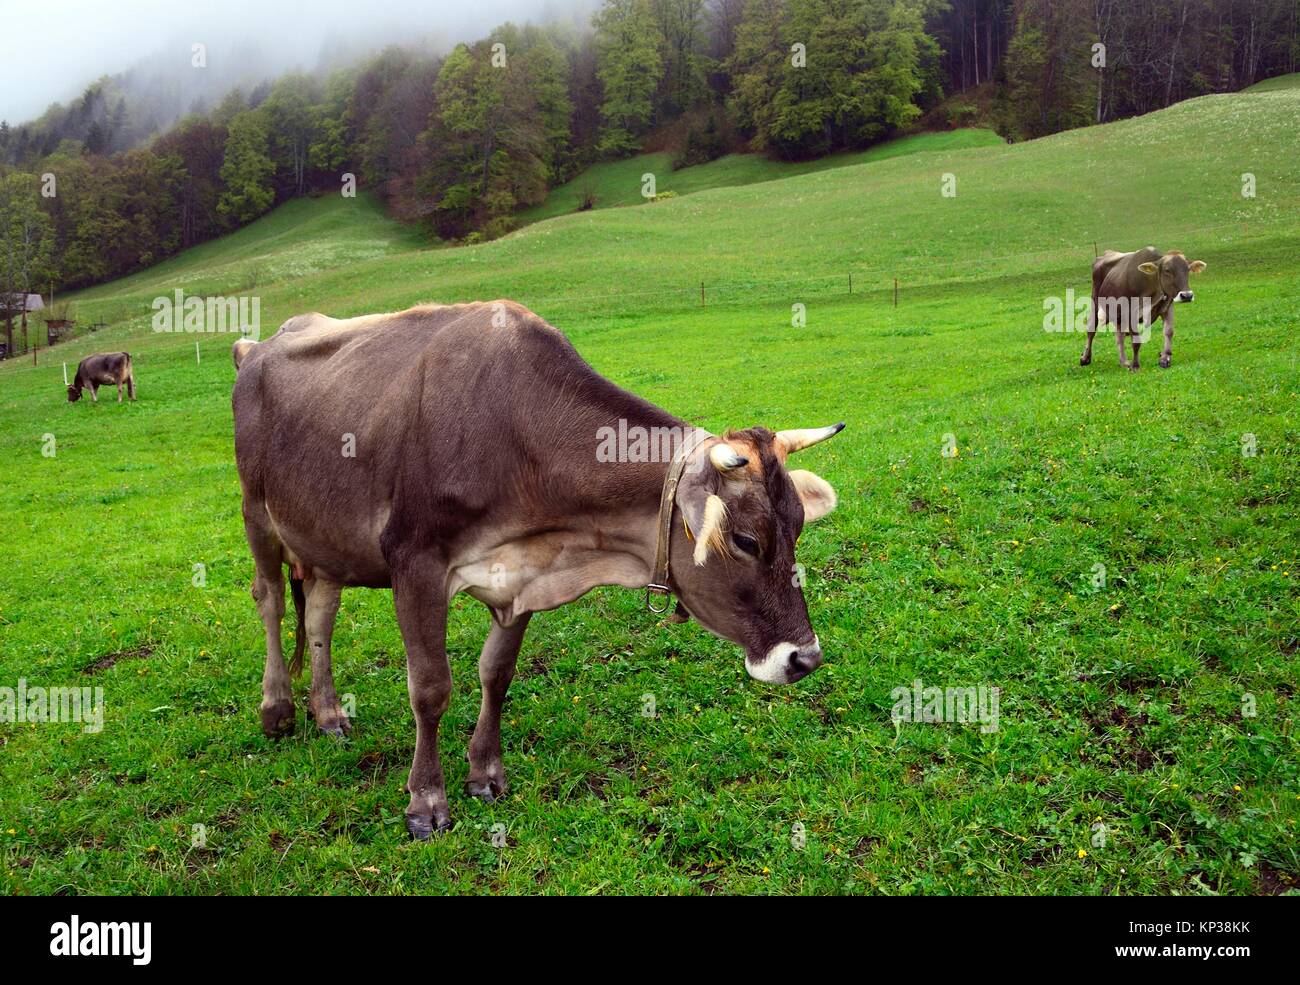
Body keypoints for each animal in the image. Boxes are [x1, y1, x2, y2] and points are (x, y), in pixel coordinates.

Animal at [232, 302, 843, 838]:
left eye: (797, 527)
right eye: (745, 540)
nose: (805, 659)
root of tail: (256, 346)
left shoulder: (525, 574)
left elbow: (496, 674)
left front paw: (485, 774)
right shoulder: (414, 561)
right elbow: (430, 688)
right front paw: (426, 803)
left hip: (323, 539)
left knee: (319, 615)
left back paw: (329, 713)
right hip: (257, 513)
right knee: (271, 601)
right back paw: (277, 709)